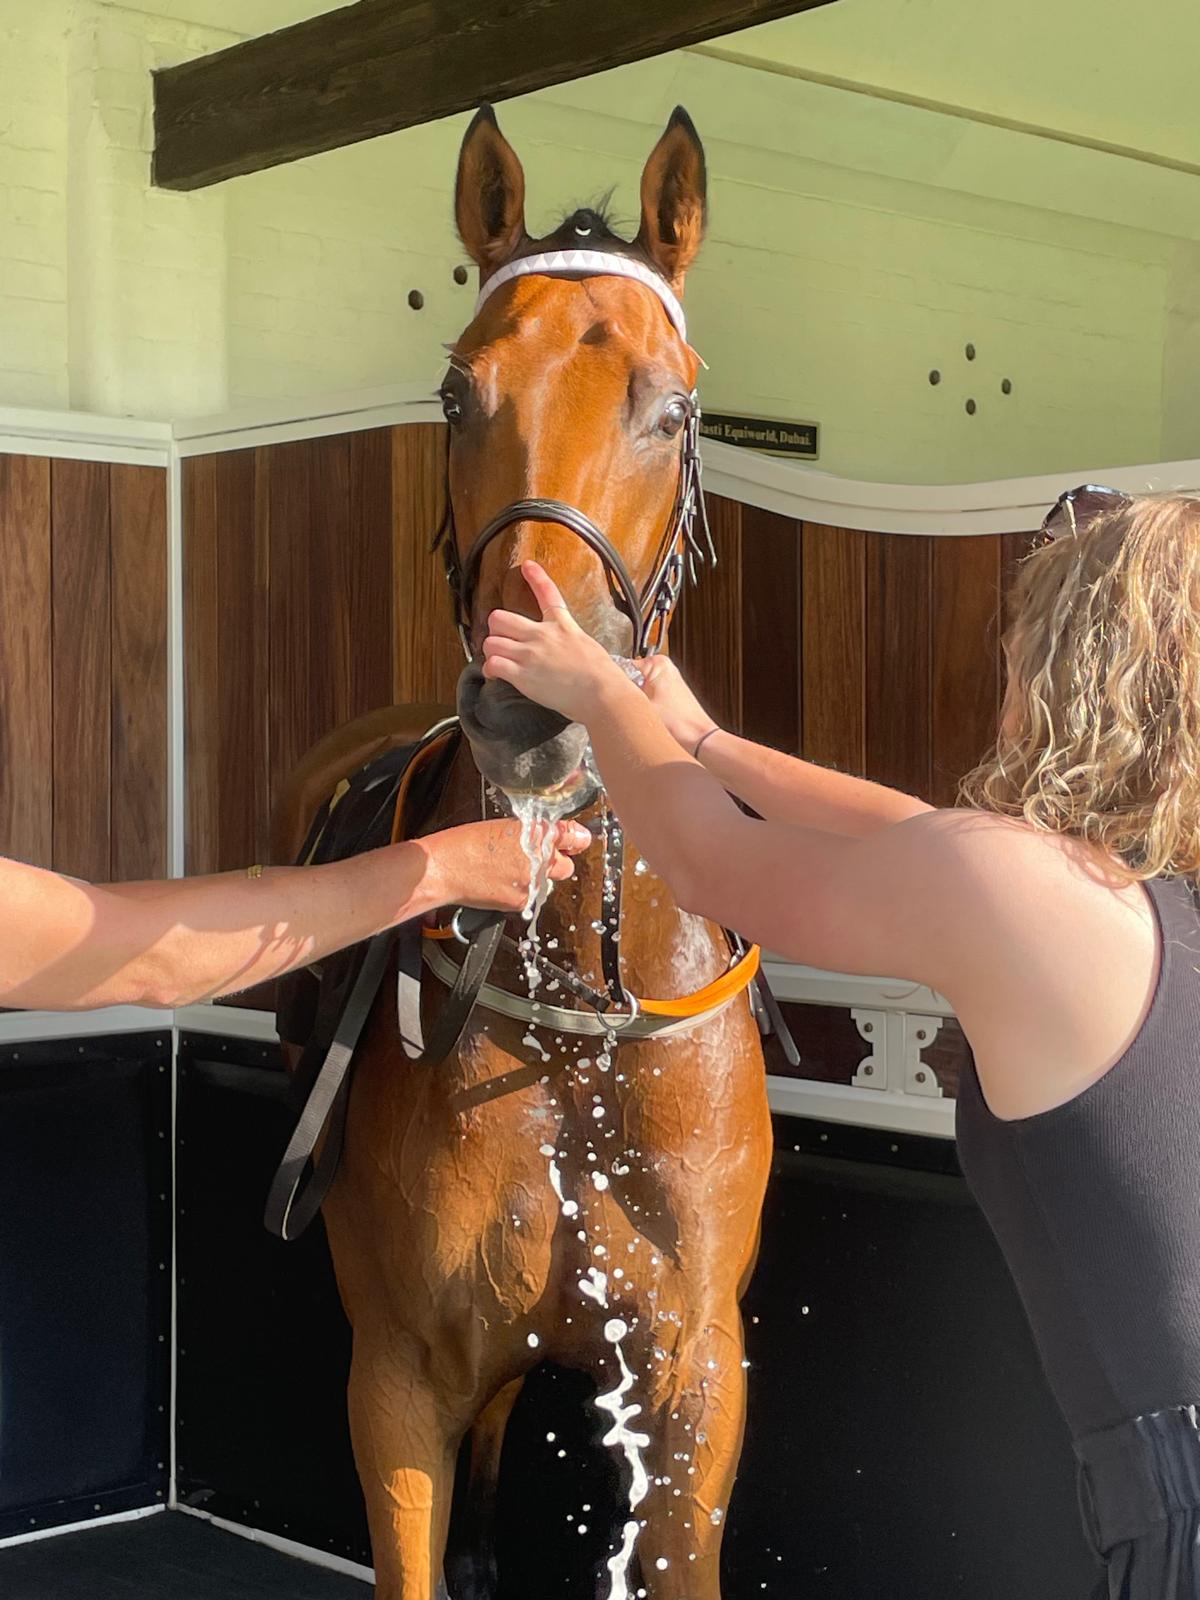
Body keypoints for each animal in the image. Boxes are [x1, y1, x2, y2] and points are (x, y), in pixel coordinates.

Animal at [272, 105, 773, 1600]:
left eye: (673, 410)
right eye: (457, 397)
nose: (532, 709)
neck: (567, 1027)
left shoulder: (697, 1377)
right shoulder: (399, 1379)